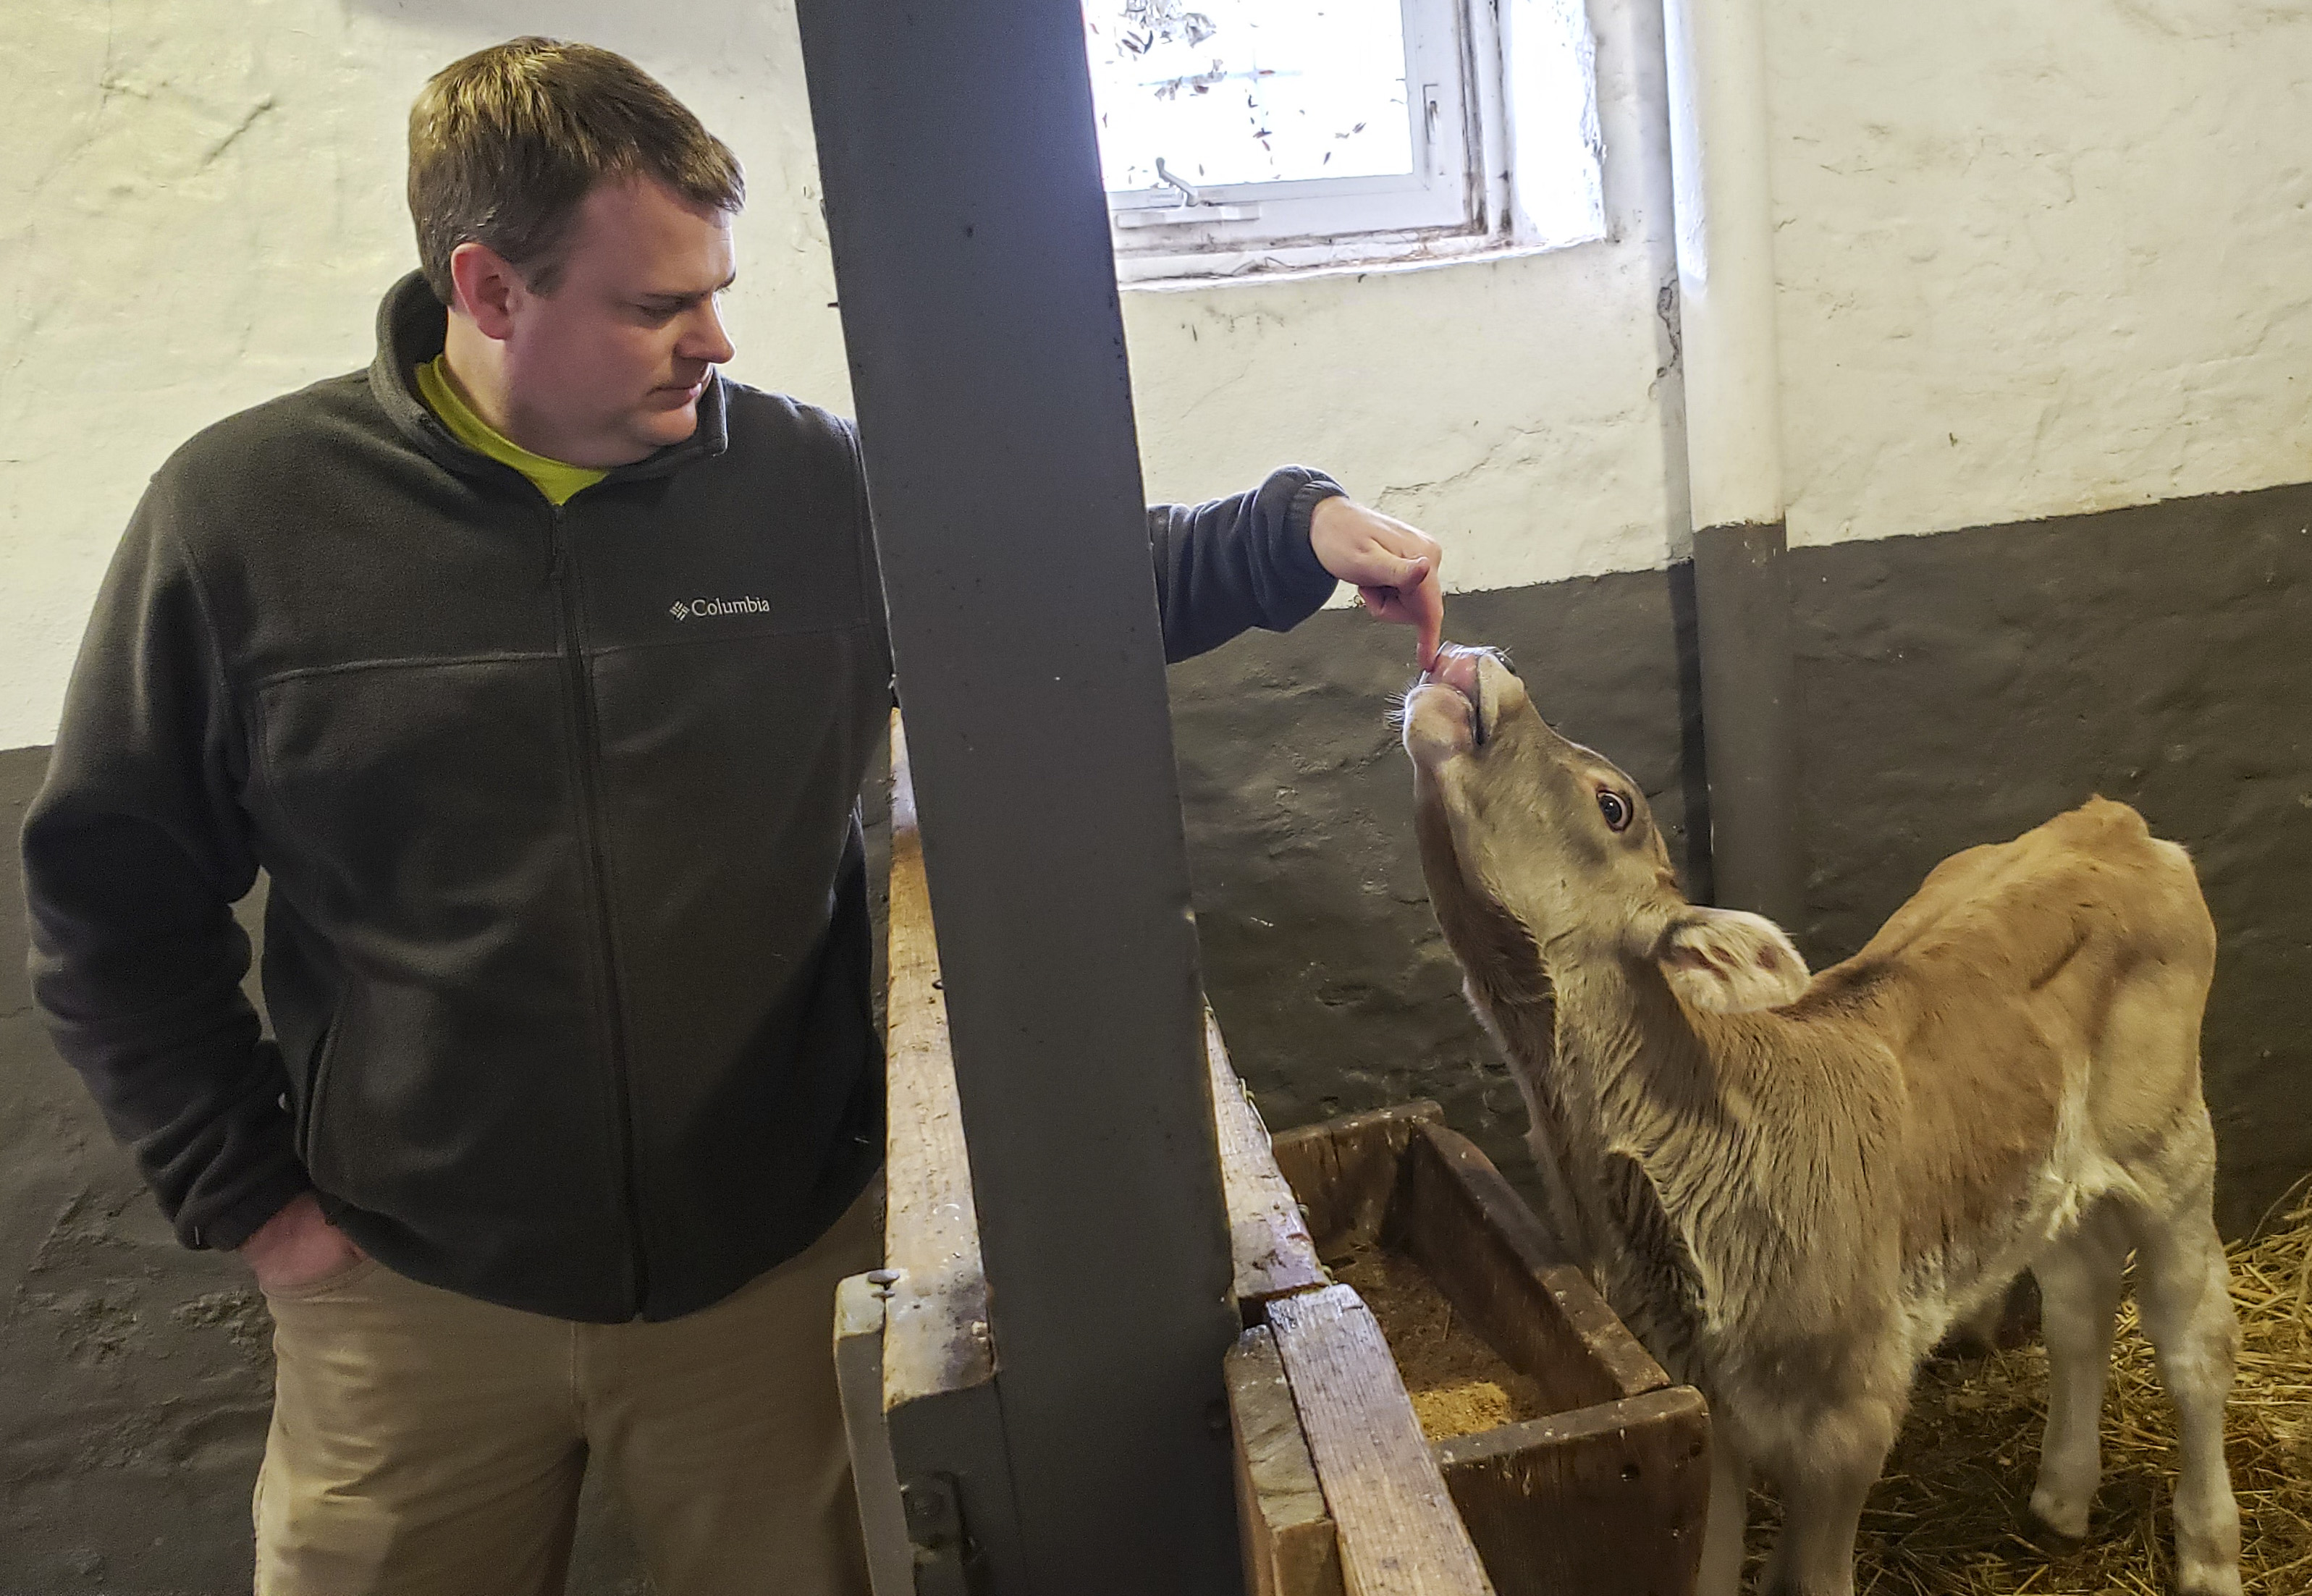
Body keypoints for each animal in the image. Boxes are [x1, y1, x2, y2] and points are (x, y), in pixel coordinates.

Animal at [1399, 644, 2241, 1596]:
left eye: (1612, 805)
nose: (1471, 660)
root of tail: (2109, 821)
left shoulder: (1851, 1419)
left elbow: (1812, 1576)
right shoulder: (1704, 1408)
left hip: (2170, 1143)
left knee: (2193, 1336)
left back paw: (2207, 1554)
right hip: (2045, 1172)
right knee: (2076, 1297)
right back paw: (2060, 1496)